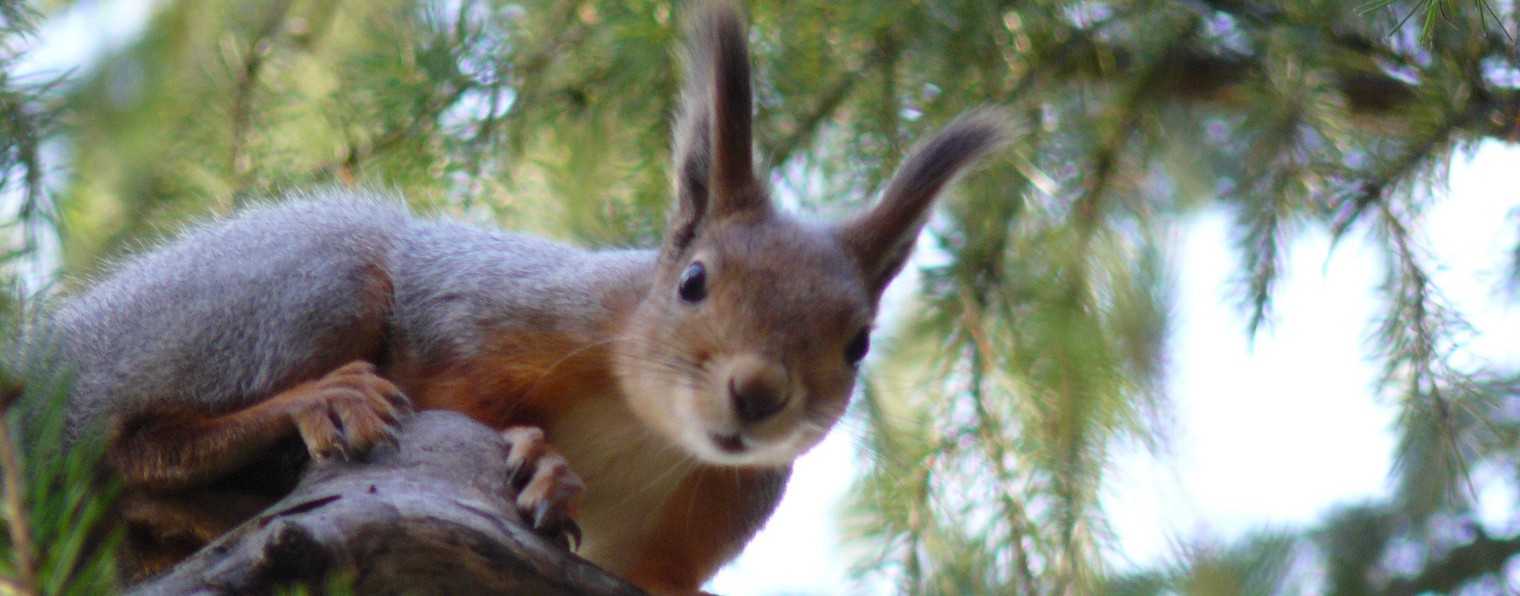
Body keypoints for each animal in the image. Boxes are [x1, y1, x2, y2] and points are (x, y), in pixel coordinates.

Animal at [45, 2, 1009, 594]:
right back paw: (309, 408)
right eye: (693, 282)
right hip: (288, 290)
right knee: (131, 444)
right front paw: (544, 463)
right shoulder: (491, 317)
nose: (759, 393)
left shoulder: (698, 526)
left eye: (858, 343)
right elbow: (463, 398)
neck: (646, 429)